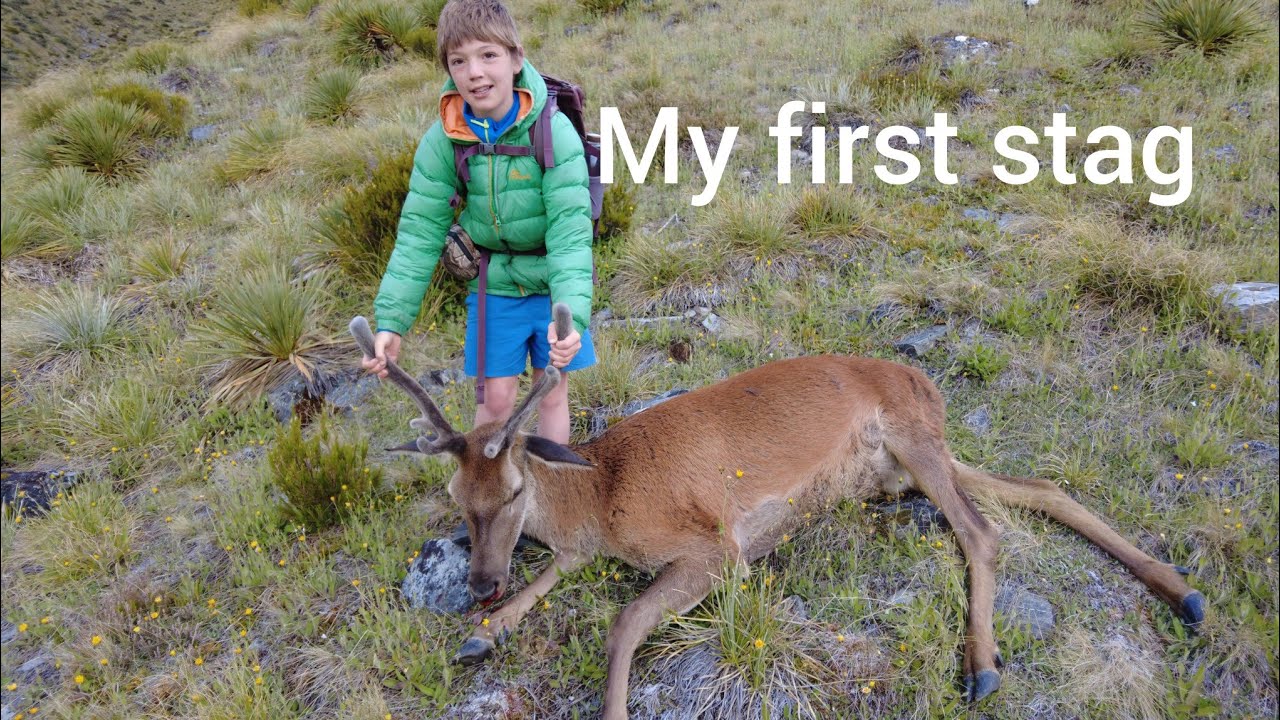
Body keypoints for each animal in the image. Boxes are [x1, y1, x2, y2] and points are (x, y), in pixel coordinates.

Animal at [349, 304, 1204, 720]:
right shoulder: (582, 550)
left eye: (513, 491)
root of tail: (927, 383)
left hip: (910, 440)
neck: (600, 495)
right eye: (457, 499)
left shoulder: (713, 546)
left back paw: (985, 667)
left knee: (983, 532)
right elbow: (550, 578)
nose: (479, 584)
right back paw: (1183, 593)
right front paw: (483, 634)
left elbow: (623, 623)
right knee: (1041, 491)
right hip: (904, 468)